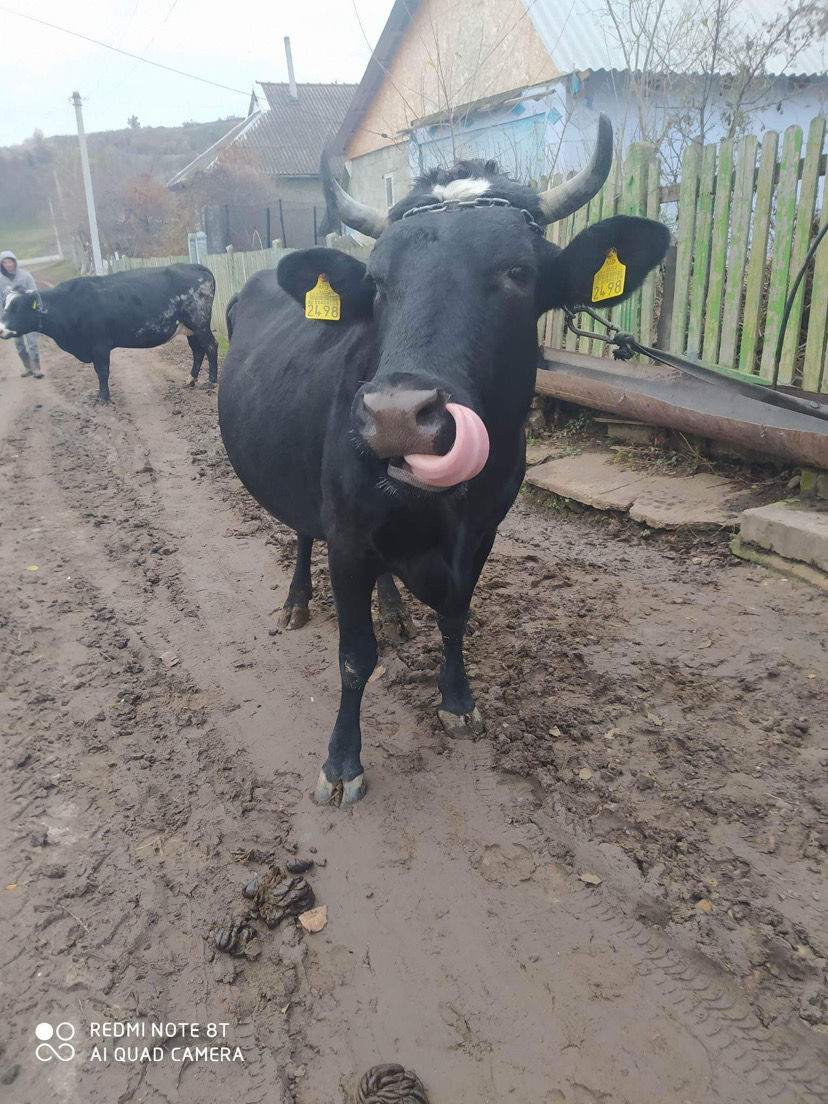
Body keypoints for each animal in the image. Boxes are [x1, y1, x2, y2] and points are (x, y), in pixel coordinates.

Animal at [0, 264, 218, 402]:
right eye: (5, 305)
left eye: (18, 308)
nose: (1, 329)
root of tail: (192, 265)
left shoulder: (99, 345)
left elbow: (102, 371)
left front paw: (103, 398)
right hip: (189, 328)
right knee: (197, 351)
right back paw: (190, 380)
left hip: (199, 323)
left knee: (210, 346)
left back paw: (211, 381)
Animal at [218, 116, 669, 806]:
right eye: (377, 283)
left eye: (518, 271)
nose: (398, 415)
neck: (441, 508)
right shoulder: (347, 535)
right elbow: (355, 657)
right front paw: (341, 763)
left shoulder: (485, 530)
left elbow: (456, 618)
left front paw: (457, 701)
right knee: (299, 531)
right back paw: (297, 602)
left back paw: (394, 610)